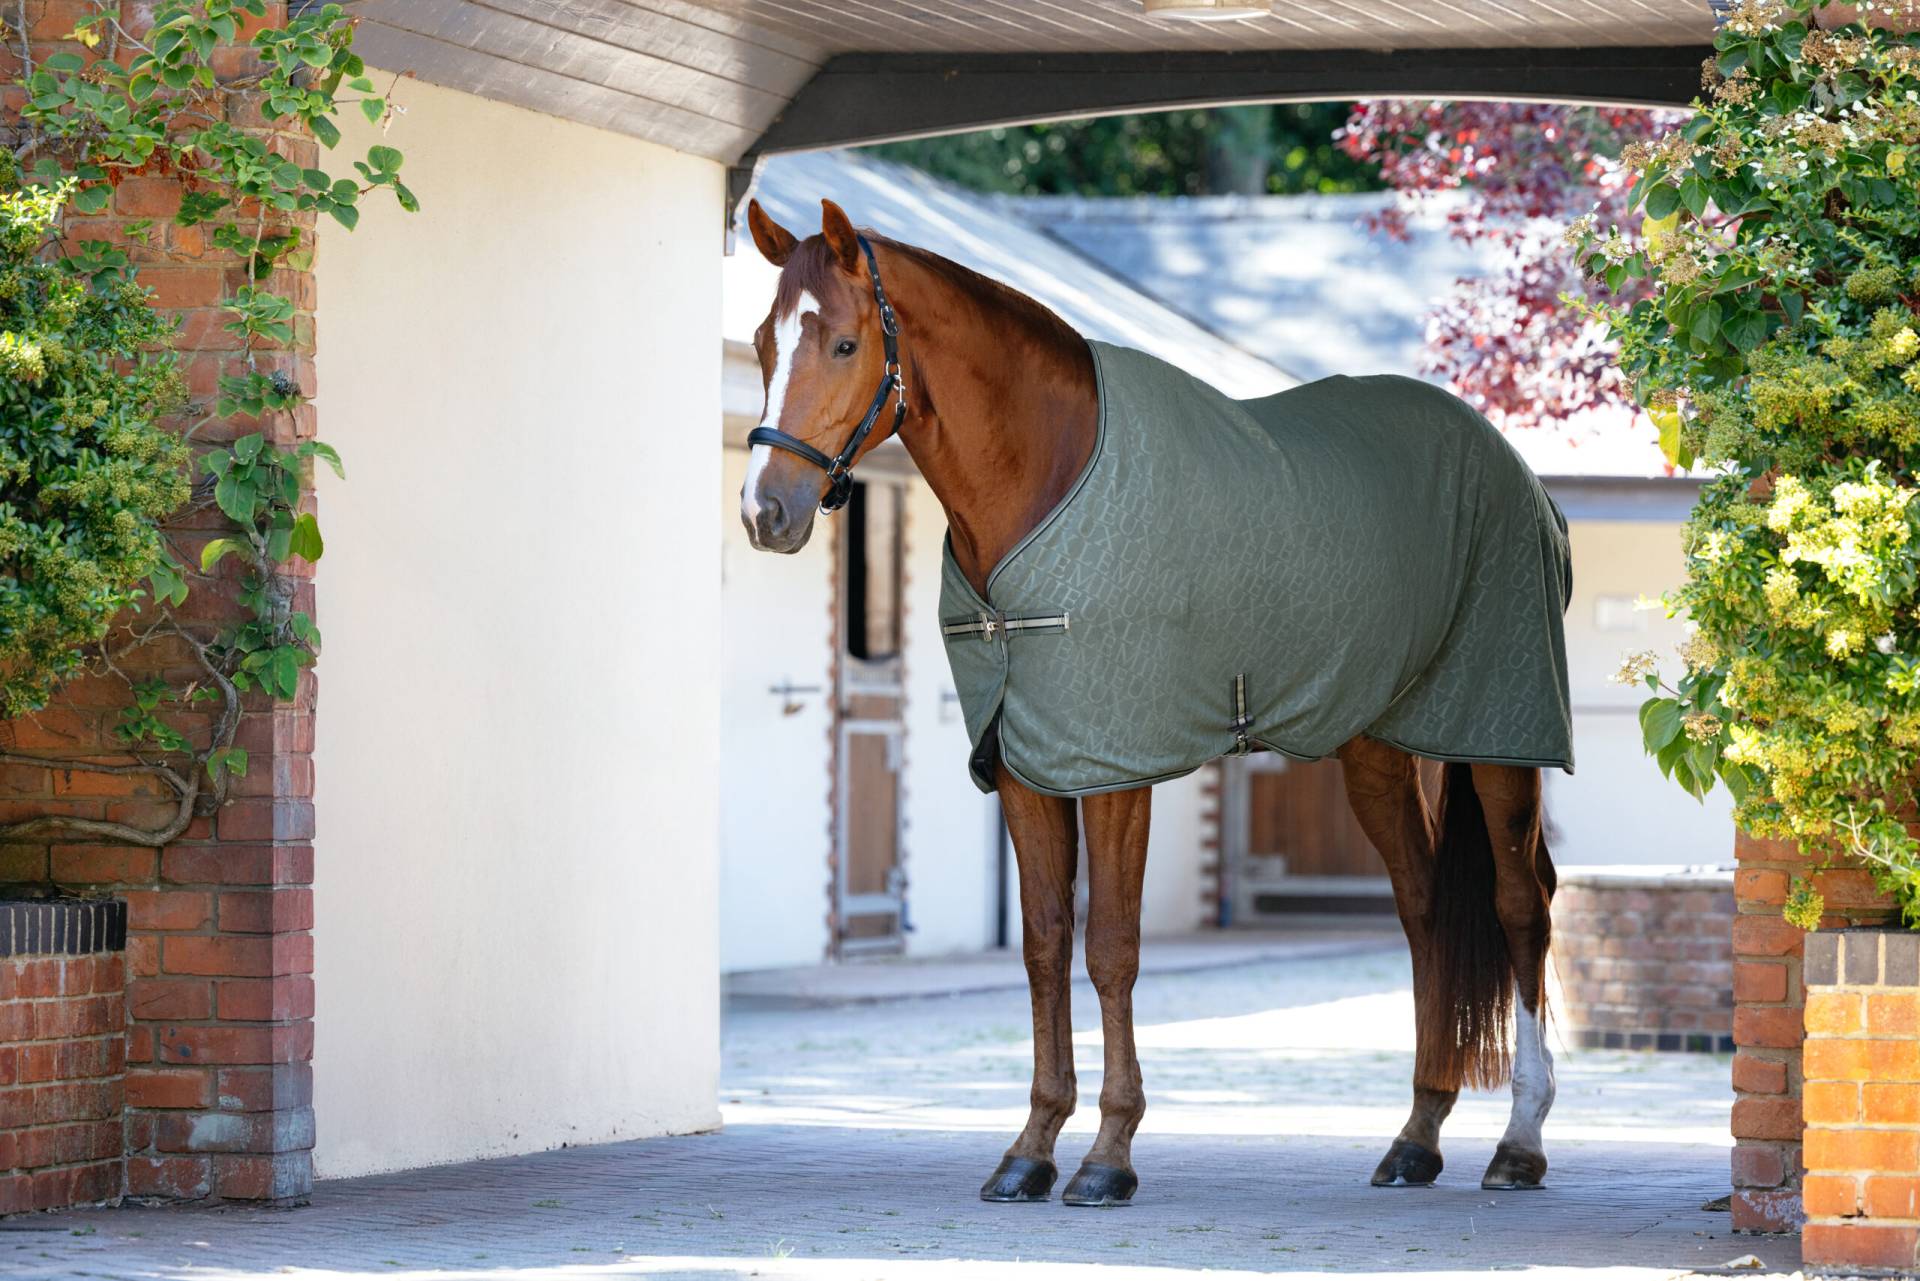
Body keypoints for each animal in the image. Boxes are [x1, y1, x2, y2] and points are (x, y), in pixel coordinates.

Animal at [737, 196, 1564, 1209]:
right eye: (763, 342)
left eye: (847, 343)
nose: (765, 512)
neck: (1049, 476)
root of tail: (1513, 467)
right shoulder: (1028, 765)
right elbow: (1045, 945)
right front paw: (1030, 1147)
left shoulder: (1114, 767)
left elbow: (1111, 948)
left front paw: (1108, 1153)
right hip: (1380, 748)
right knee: (1424, 911)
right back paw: (1416, 1136)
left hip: (1501, 732)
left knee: (1523, 905)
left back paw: (1519, 1141)